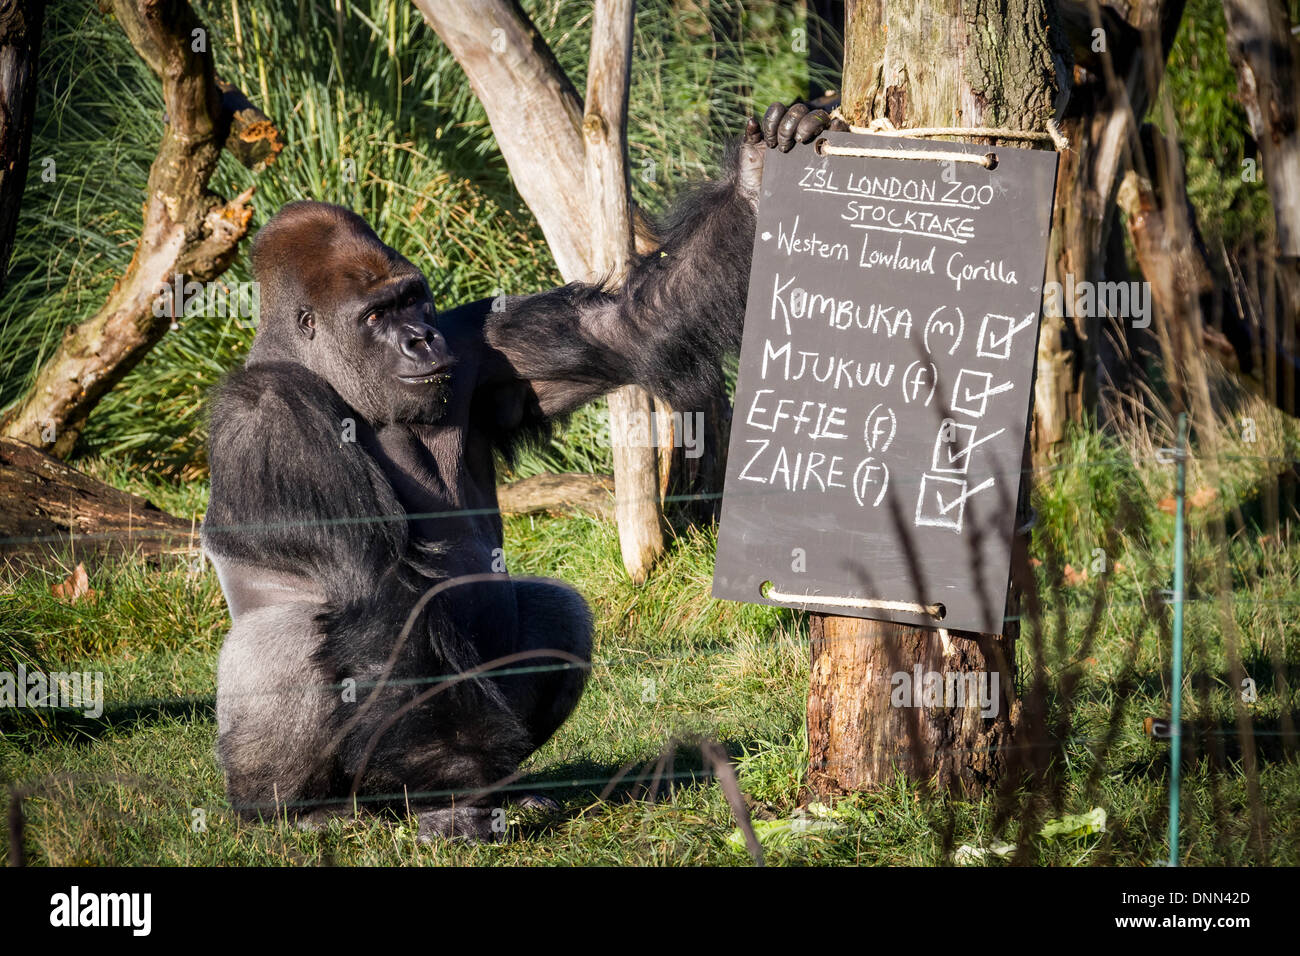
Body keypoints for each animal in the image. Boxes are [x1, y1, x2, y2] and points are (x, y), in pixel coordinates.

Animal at [200, 102, 839, 841]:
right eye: (377, 314)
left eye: (413, 301)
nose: (419, 340)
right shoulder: (274, 414)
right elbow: (378, 594)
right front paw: (461, 788)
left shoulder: (475, 338)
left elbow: (627, 327)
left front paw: (758, 177)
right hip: (281, 780)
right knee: (293, 639)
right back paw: (309, 811)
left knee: (555, 606)